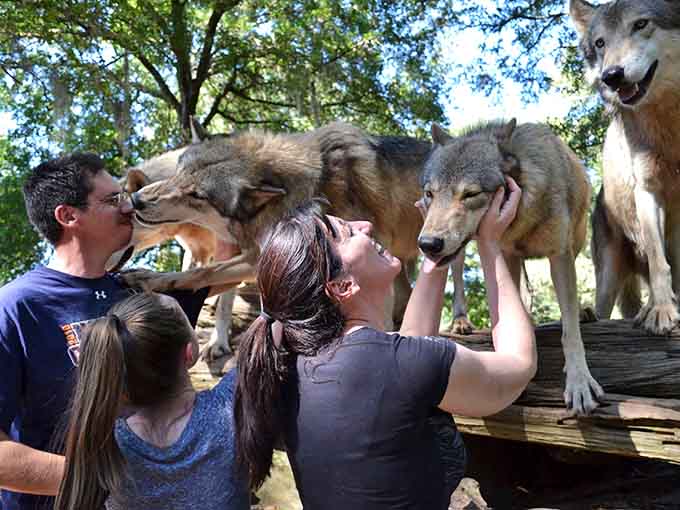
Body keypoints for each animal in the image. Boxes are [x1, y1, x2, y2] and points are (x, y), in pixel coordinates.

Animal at [416, 119, 603, 415]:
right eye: (429, 194)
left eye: (470, 194)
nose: (428, 244)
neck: (522, 219)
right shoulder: (504, 253)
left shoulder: (560, 256)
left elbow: (570, 330)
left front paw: (579, 382)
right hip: (470, 255)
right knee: (458, 275)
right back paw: (461, 321)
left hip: (577, 239)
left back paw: (582, 312)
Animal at [570, 0, 680, 334]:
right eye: (600, 43)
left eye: (640, 24)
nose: (612, 76)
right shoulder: (647, 191)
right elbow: (659, 262)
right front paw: (662, 310)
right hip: (608, 273)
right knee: (603, 309)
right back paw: (589, 314)